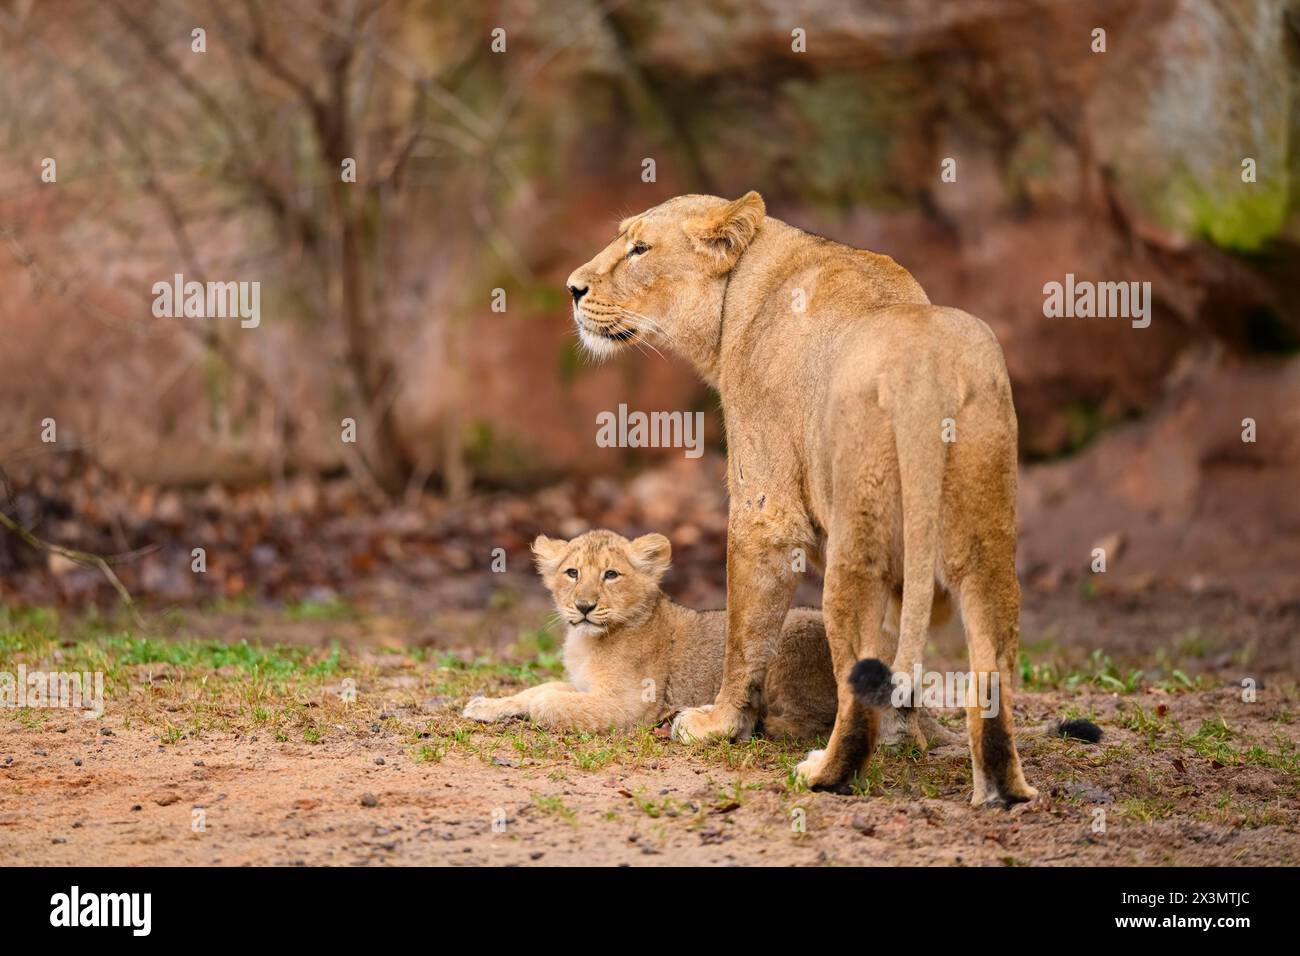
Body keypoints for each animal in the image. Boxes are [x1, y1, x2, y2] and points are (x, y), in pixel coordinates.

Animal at [460, 529, 839, 738]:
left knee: (815, 722)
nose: (584, 606)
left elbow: (548, 700)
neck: (587, 641)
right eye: (572, 572)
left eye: (611, 575)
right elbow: (539, 689)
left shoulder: (632, 704)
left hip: (790, 633)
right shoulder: (585, 685)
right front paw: (486, 705)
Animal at [564, 192, 1037, 807]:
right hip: (984, 541)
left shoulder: (765, 509)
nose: (572, 288)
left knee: (856, 683)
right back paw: (1002, 789)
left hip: (855, 546)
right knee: (990, 656)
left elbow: (747, 634)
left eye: (640, 248)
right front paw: (912, 736)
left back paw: (824, 773)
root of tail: (922, 368)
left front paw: (719, 724)